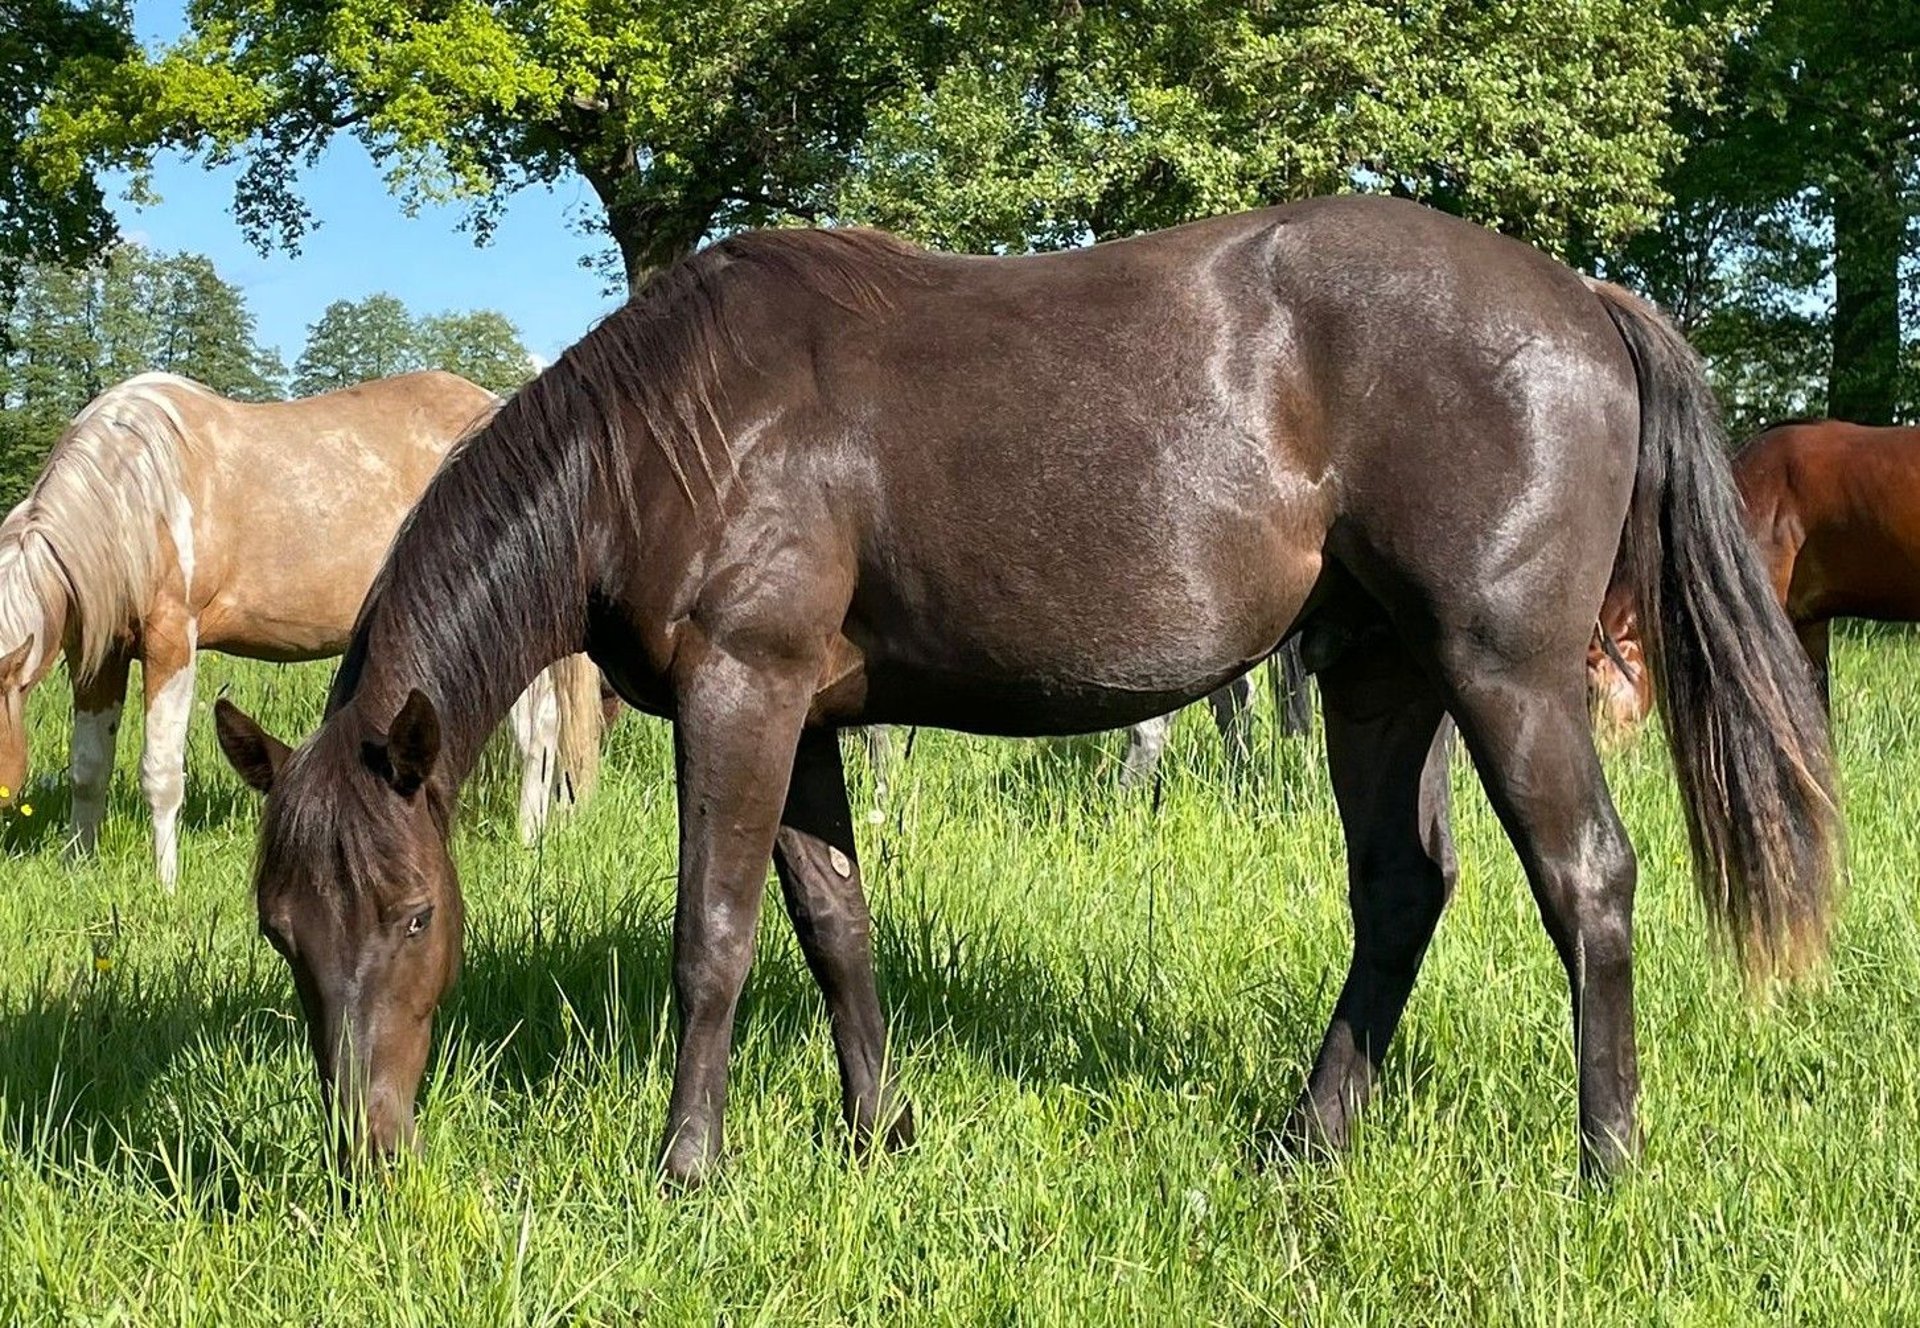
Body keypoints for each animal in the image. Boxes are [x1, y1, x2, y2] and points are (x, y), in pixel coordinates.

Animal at [0, 370, 603, 888]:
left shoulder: (171, 641)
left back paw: (528, 836)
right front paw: (78, 867)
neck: (133, 492)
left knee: (539, 728)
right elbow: (88, 768)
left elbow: (161, 772)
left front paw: (165, 883)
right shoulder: (98, 656)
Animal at [211, 196, 1837, 1187]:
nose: (363, 1155)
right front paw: (878, 1133)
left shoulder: (745, 693)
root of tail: (1581, 299)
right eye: (282, 928)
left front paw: (685, 1168)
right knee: (1401, 891)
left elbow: (714, 939)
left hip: (1504, 670)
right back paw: (1307, 1138)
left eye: (412, 915)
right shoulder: (804, 717)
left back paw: (1603, 1160)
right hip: (1383, 677)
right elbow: (836, 928)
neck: (675, 428)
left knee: (1588, 879)